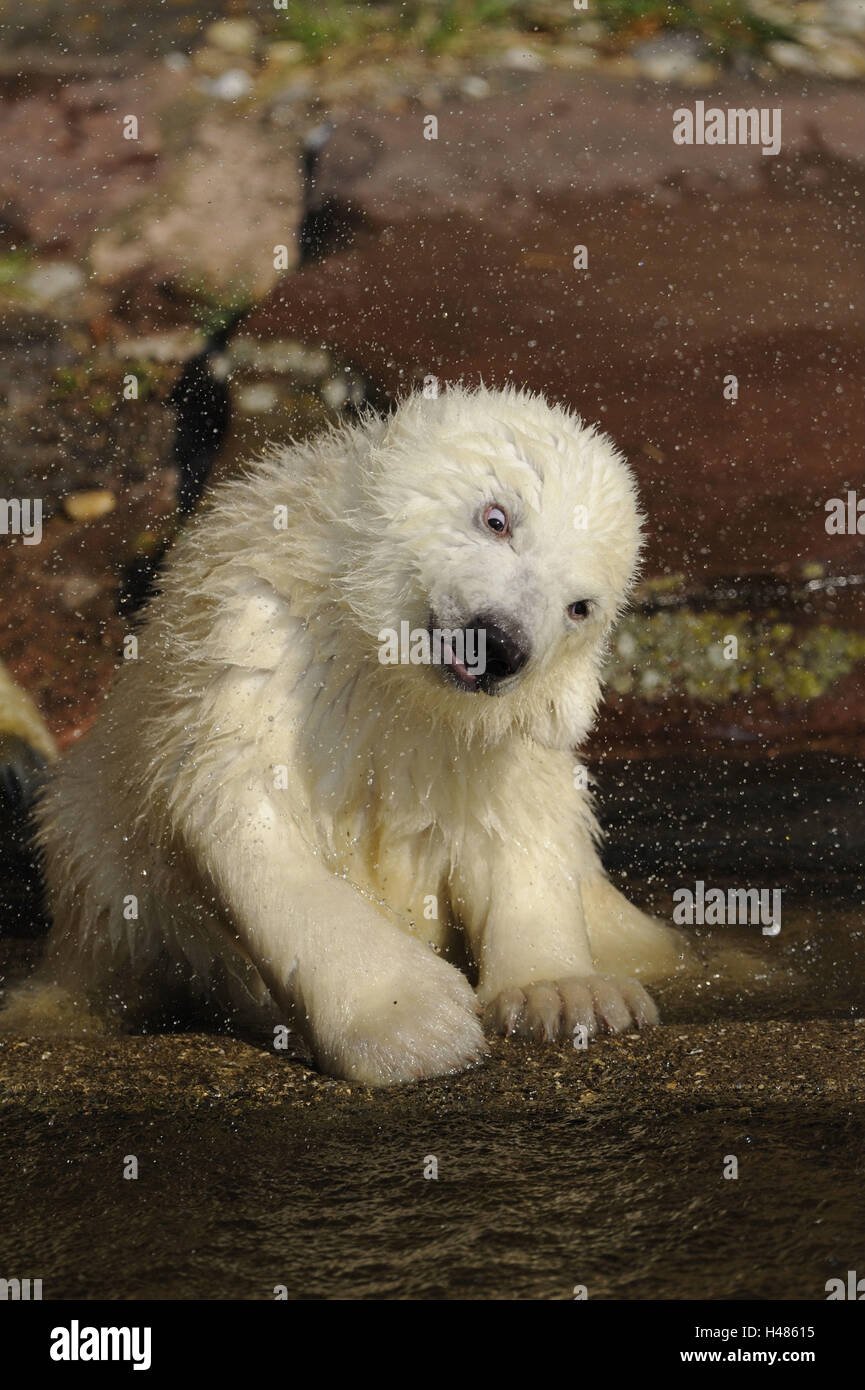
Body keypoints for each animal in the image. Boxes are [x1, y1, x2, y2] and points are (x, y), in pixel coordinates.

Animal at [1, 385, 688, 1084]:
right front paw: (409, 1021)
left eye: (581, 608)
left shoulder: (491, 745)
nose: (500, 644)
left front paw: (566, 994)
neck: (393, 680)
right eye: (497, 518)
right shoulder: (263, 639)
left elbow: (520, 824)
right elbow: (240, 798)